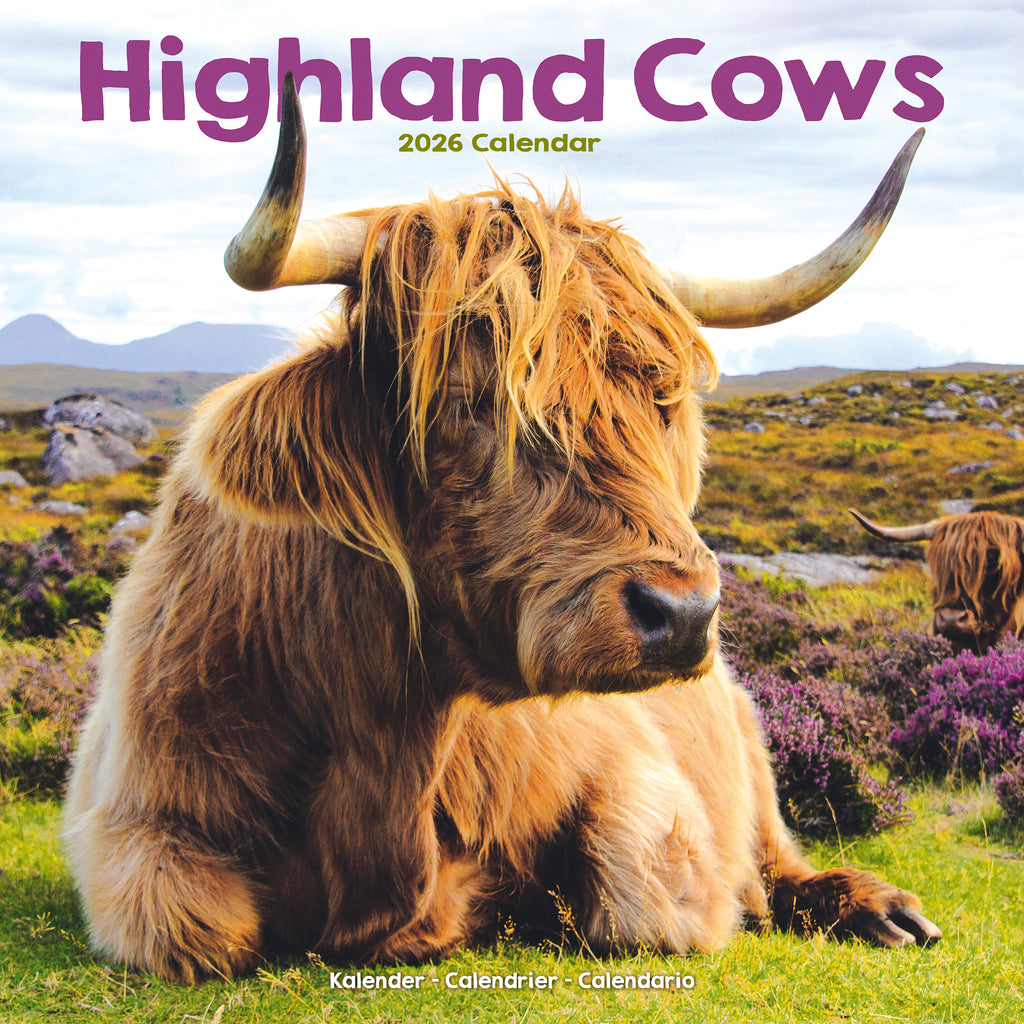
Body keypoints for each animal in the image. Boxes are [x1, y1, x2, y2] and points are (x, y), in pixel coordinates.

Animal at [62, 74, 939, 983]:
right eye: (470, 401)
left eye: (661, 400)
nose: (684, 613)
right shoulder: (132, 822)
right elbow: (204, 926)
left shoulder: (639, 778)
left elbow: (642, 900)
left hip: (746, 734)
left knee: (774, 856)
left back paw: (879, 908)